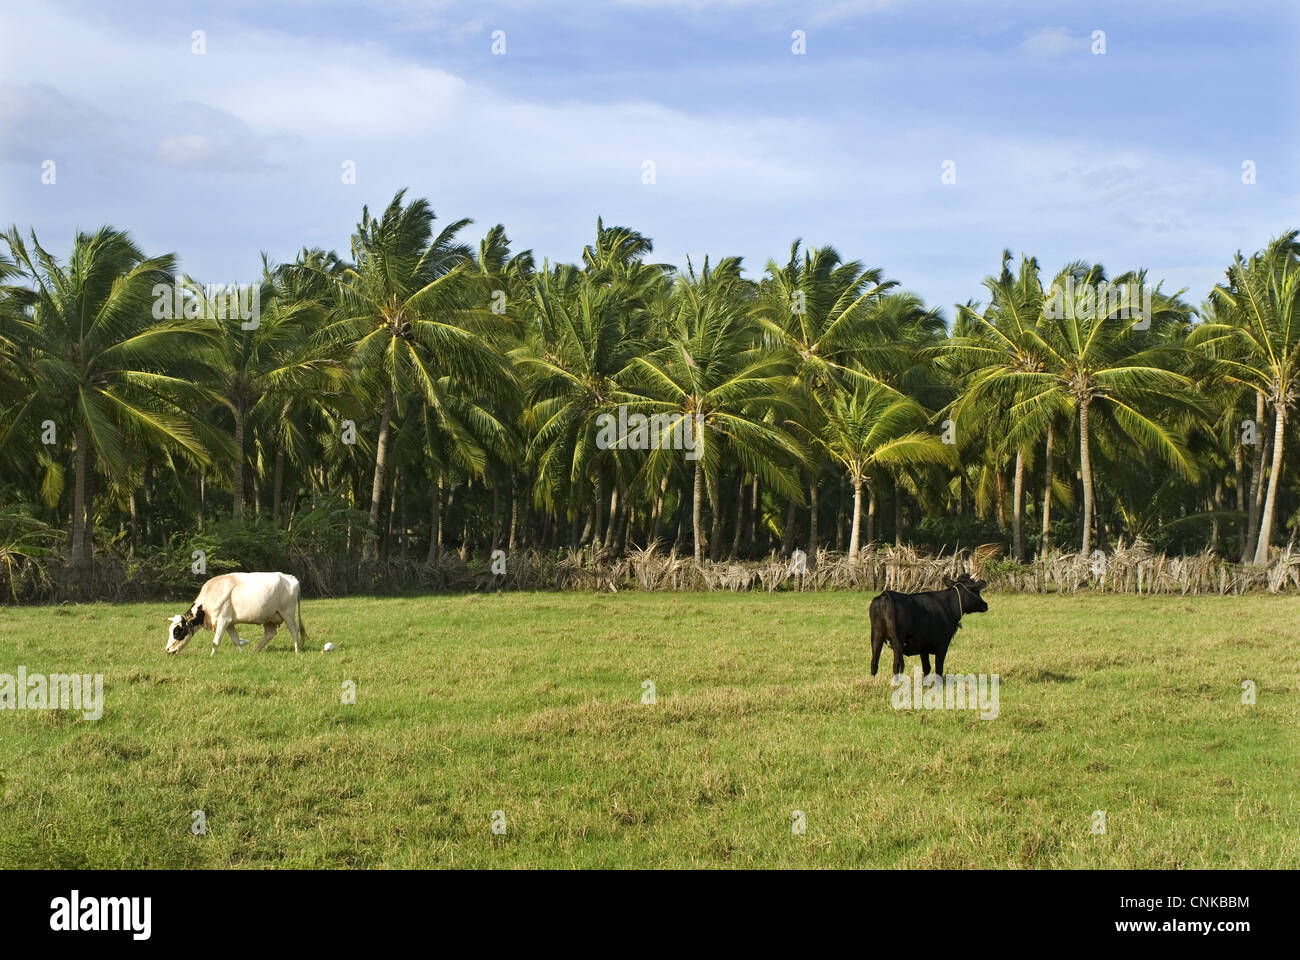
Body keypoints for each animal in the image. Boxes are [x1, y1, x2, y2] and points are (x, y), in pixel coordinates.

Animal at [164, 572, 308, 656]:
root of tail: (290, 577)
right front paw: (241, 653)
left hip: (287, 613)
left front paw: (211, 656)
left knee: (294, 631)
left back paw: (296, 652)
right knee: (270, 633)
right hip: (269, 617)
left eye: (177, 632)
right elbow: (236, 640)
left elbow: (215, 642)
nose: (167, 650)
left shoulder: (223, 621)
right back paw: (255, 651)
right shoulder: (229, 624)